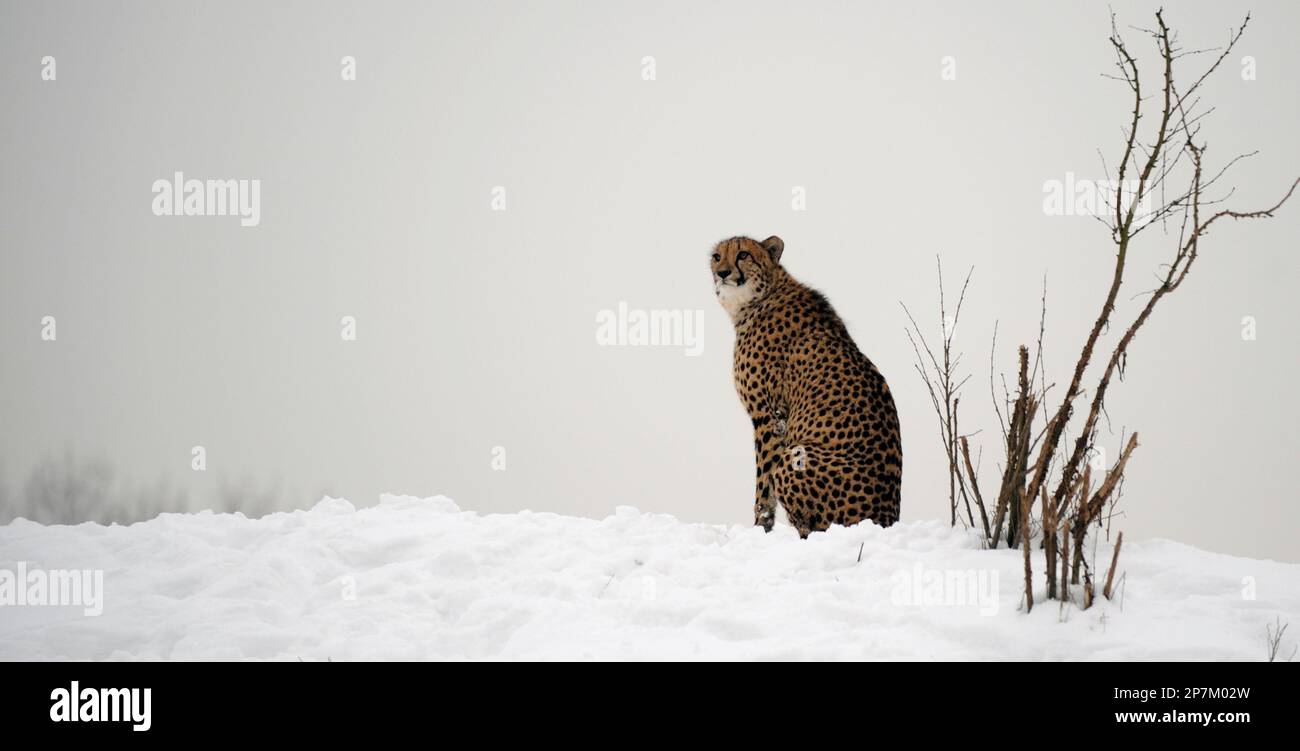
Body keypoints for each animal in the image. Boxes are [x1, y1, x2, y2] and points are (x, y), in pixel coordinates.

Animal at [711, 235, 902, 537]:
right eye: (717, 256)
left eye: (743, 254)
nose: (722, 273)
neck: (761, 297)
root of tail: (886, 519)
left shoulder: (769, 416)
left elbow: (763, 484)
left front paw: (759, 528)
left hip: (796, 456)